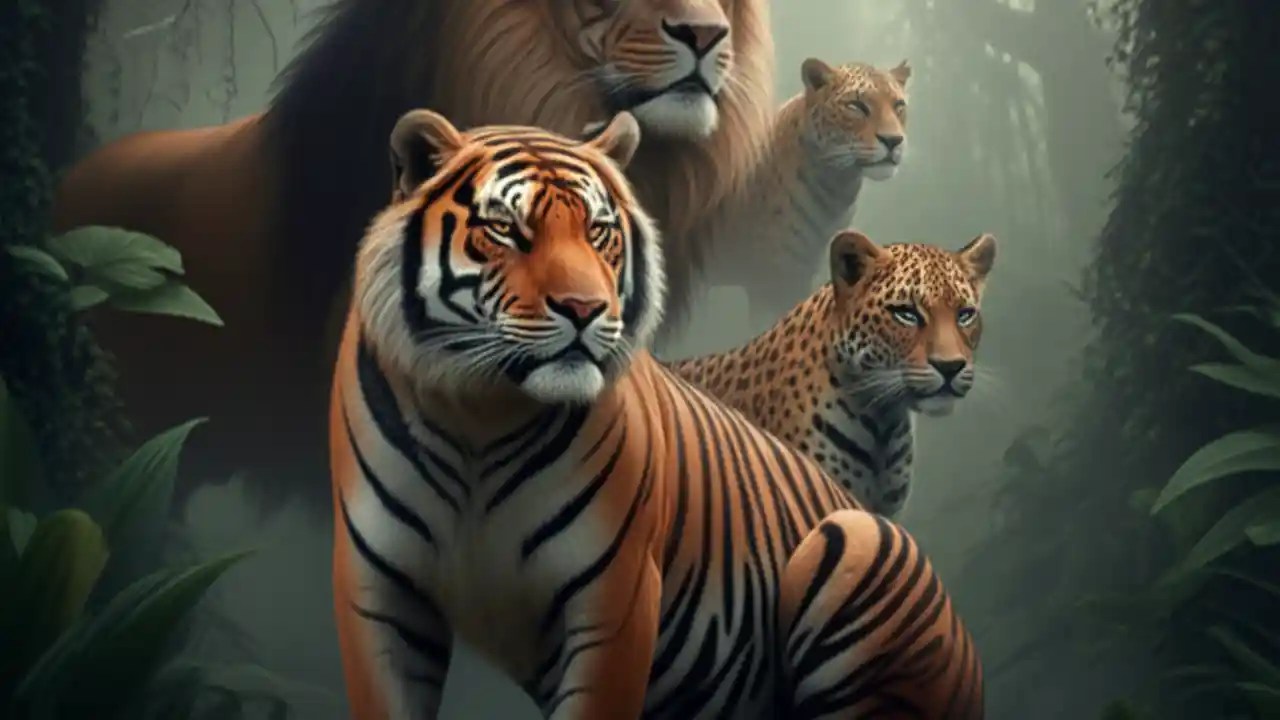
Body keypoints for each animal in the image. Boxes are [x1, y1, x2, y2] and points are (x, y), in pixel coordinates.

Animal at [697, 56, 912, 338]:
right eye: (856, 106)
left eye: (899, 106)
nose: (894, 140)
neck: (837, 186)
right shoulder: (771, 279)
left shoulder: (800, 273)